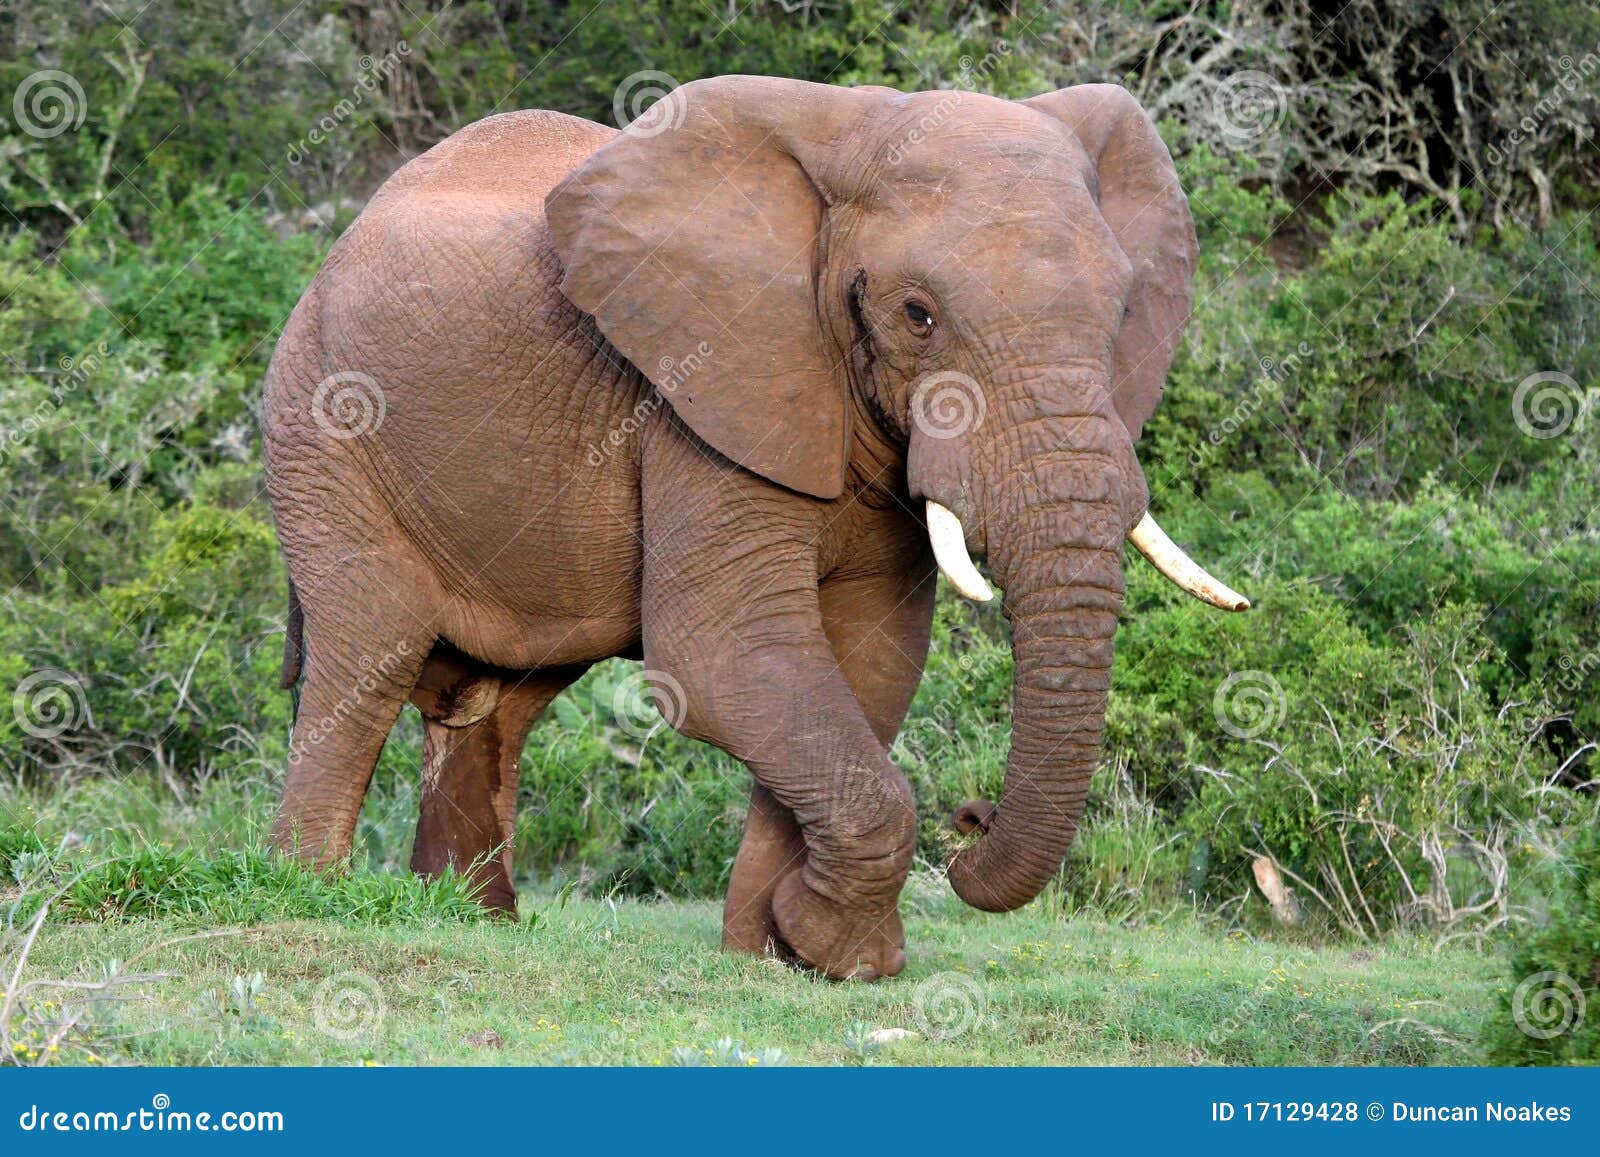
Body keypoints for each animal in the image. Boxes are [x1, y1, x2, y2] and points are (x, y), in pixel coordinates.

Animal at [261, 75, 1248, 981]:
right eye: (916, 315)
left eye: (1123, 315)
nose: (972, 820)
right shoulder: (699, 393)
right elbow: (728, 654)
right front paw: (836, 946)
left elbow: (862, 668)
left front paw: (783, 953)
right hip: (318, 420)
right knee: (372, 648)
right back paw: (311, 894)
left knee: (501, 697)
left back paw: (474, 920)